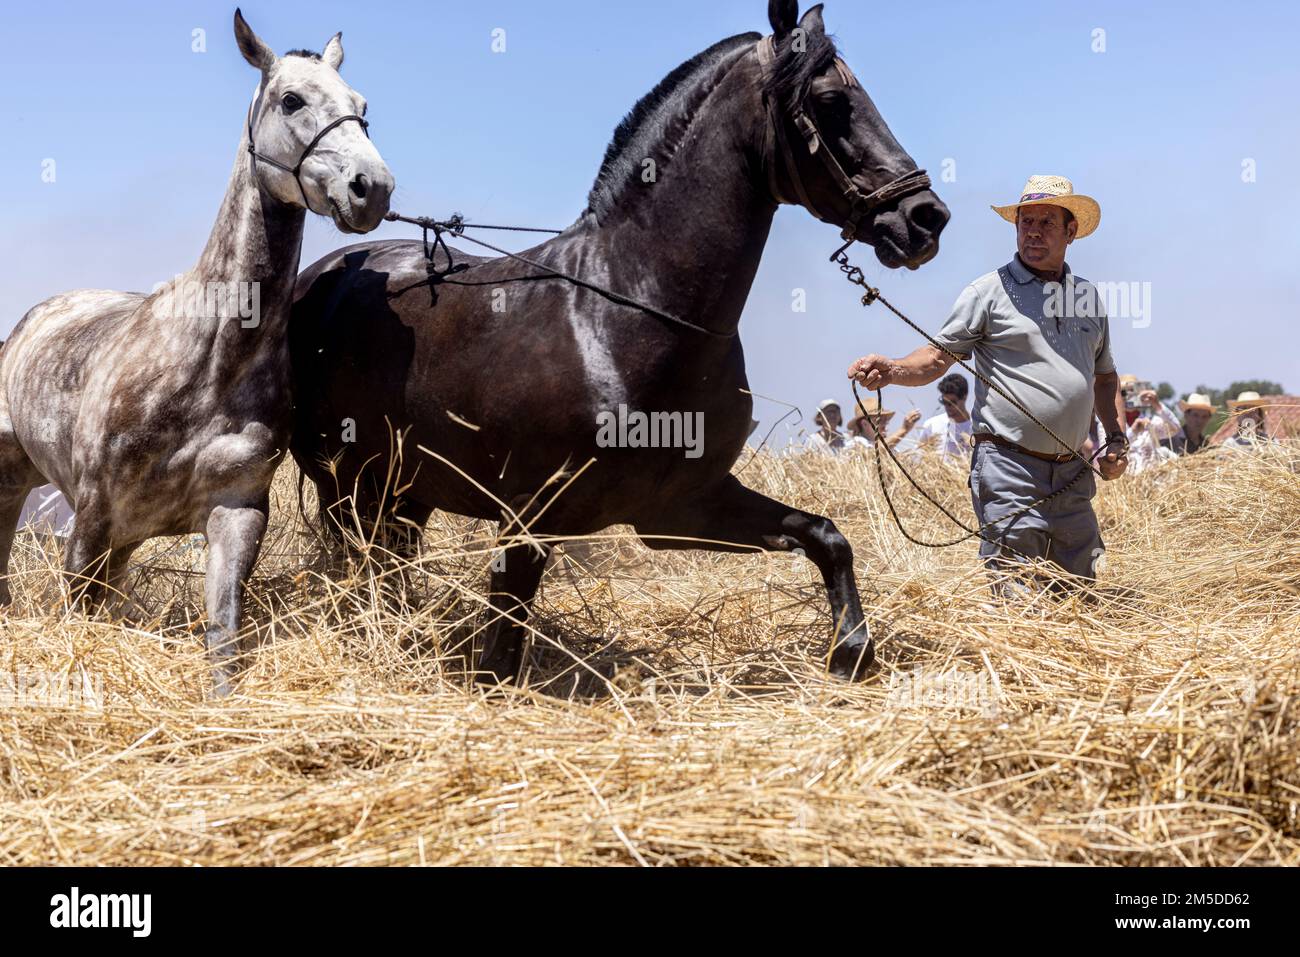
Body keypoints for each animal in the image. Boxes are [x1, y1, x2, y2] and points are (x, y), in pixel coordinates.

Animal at [0, 10, 394, 696]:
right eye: (291, 100)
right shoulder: (93, 518)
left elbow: (223, 637)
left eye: (362, 106)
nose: (371, 189)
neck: (208, 363)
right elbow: (77, 614)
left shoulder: (235, 514)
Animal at [288, 0, 948, 685]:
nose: (926, 218)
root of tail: (329, 273)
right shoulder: (527, 517)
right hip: (344, 483)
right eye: (830, 101)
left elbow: (826, 537)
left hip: (404, 489)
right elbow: (499, 659)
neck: (623, 313)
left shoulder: (682, 505)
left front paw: (851, 652)